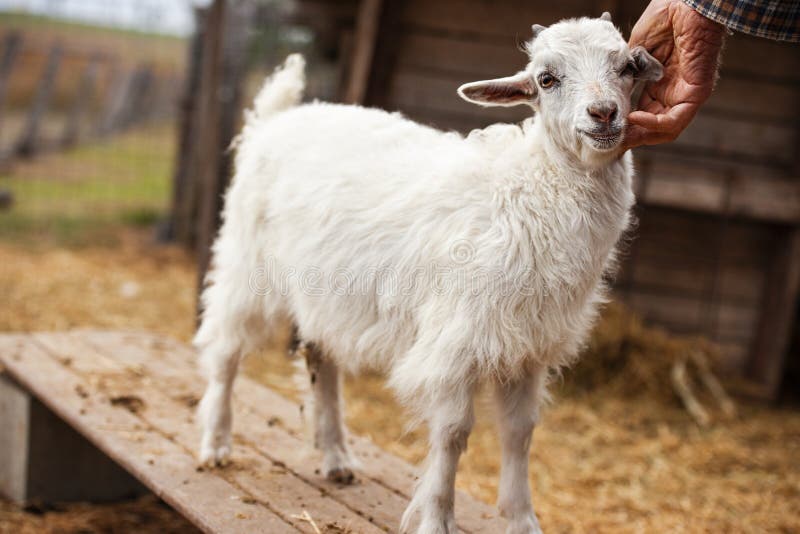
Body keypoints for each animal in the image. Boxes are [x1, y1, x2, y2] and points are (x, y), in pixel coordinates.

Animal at [195, 12, 662, 534]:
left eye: (627, 67)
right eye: (546, 79)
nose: (603, 114)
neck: (529, 188)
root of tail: (277, 117)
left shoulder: (528, 345)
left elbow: (519, 433)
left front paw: (523, 519)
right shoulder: (455, 341)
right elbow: (454, 433)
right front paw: (437, 518)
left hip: (325, 290)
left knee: (321, 358)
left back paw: (336, 458)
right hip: (248, 264)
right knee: (225, 349)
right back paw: (216, 444)